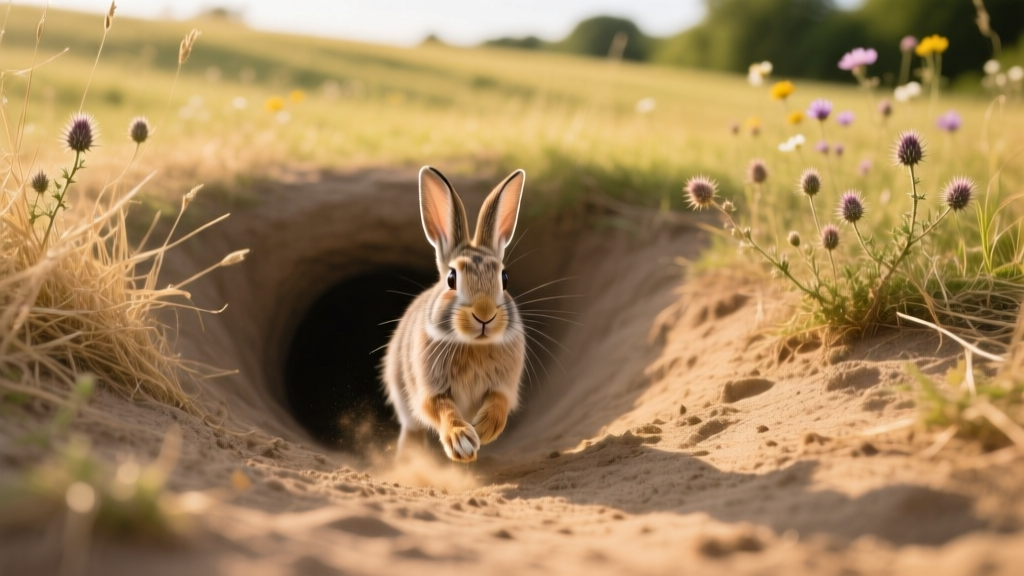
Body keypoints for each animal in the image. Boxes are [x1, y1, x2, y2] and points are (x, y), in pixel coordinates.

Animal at [382, 166, 527, 462]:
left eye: (504, 278)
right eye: (451, 278)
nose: (484, 315)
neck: (474, 344)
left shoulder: (504, 385)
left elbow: (499, 400)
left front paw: (484, 428)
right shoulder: (429, 388)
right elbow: (440, 408)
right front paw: (462, 440)